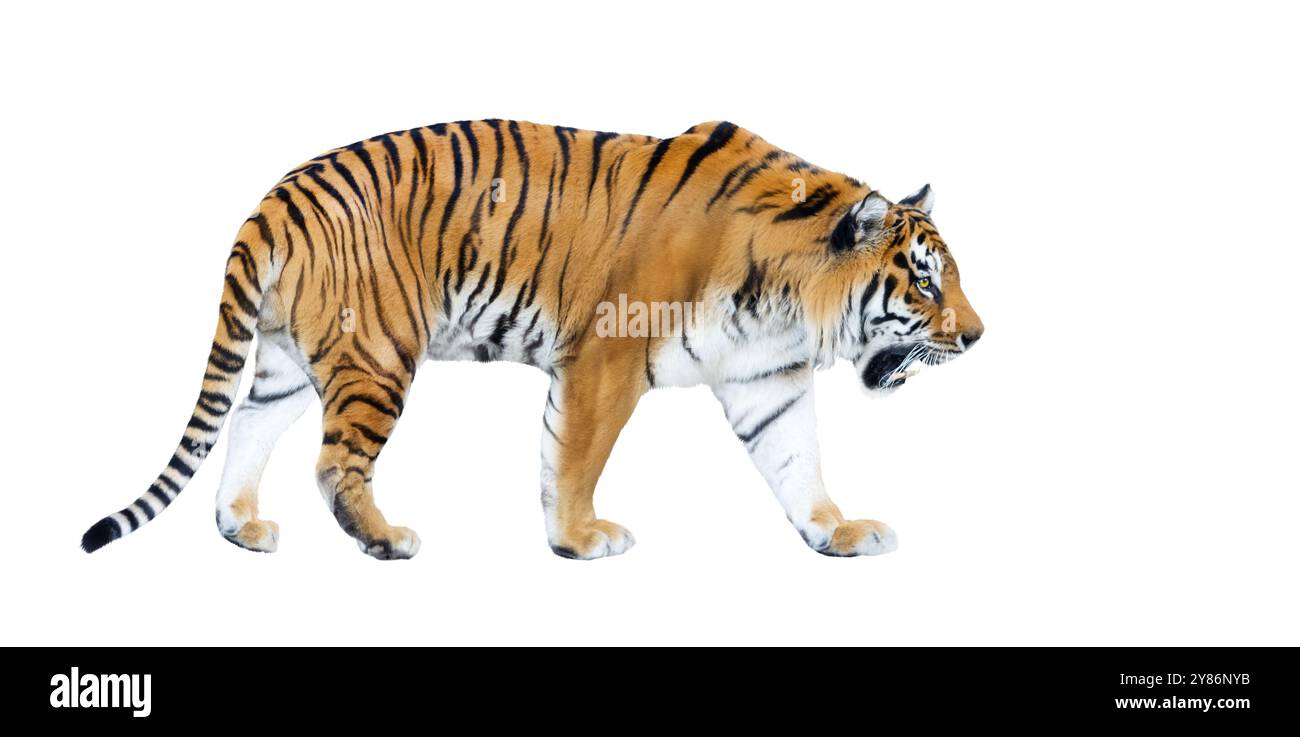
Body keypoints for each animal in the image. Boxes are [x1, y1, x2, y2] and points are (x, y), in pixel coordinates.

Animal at [81, 119, 983, 560]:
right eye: (924, 281)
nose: (978, 335)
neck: (790, 298)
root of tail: (276, 197)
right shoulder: (605, 360)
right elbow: (574, 458)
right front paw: (580, 540)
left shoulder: (769, 379)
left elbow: (797, 464)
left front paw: (837, 532)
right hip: (377, 355)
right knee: (335, 463)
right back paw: (385, 540)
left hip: (287, 361)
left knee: (246, 423)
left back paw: (241, 528)